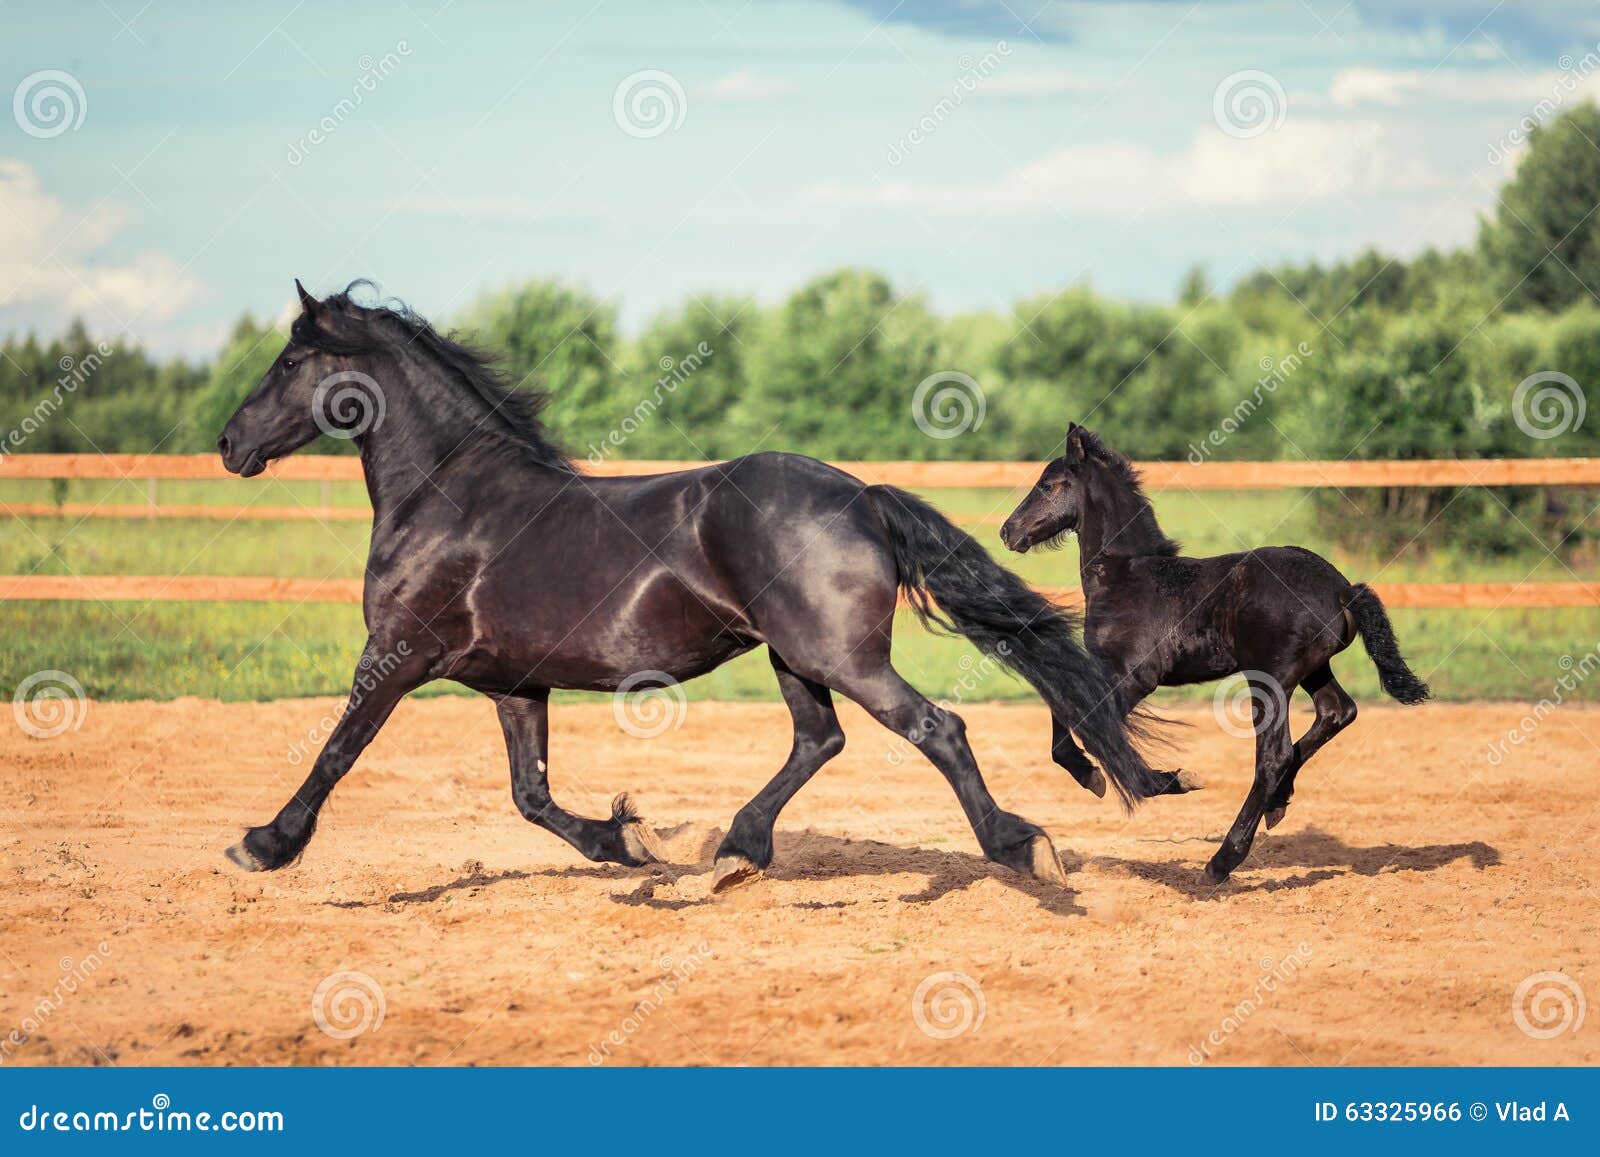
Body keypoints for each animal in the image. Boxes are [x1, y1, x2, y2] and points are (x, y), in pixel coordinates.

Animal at [215, 282, 1177, 893]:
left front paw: (263, 843)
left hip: (839, 655)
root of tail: (862, 495)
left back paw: (1021, 847)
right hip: (795, 656)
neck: (450, 496)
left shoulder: (398, 653)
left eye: (290, 362)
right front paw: (627, 840)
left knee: (935, 728)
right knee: (819, 740)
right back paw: (734, 851)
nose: (229, 444)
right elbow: (532, 795)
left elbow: (337, 751)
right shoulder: (515, 684)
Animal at [999, 423, 1431, 883]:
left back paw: (1222, 861)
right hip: (1312, 670)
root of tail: (1343, 590)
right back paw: (1277, 805)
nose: (1008, 531)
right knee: (1337, 712)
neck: (1124, 577)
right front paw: (1100, 776)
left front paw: (1168, 780)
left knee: (1274, 756)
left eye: (1048, 485)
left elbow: (1087, 725)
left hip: (1270, 679)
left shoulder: (1135, 676)